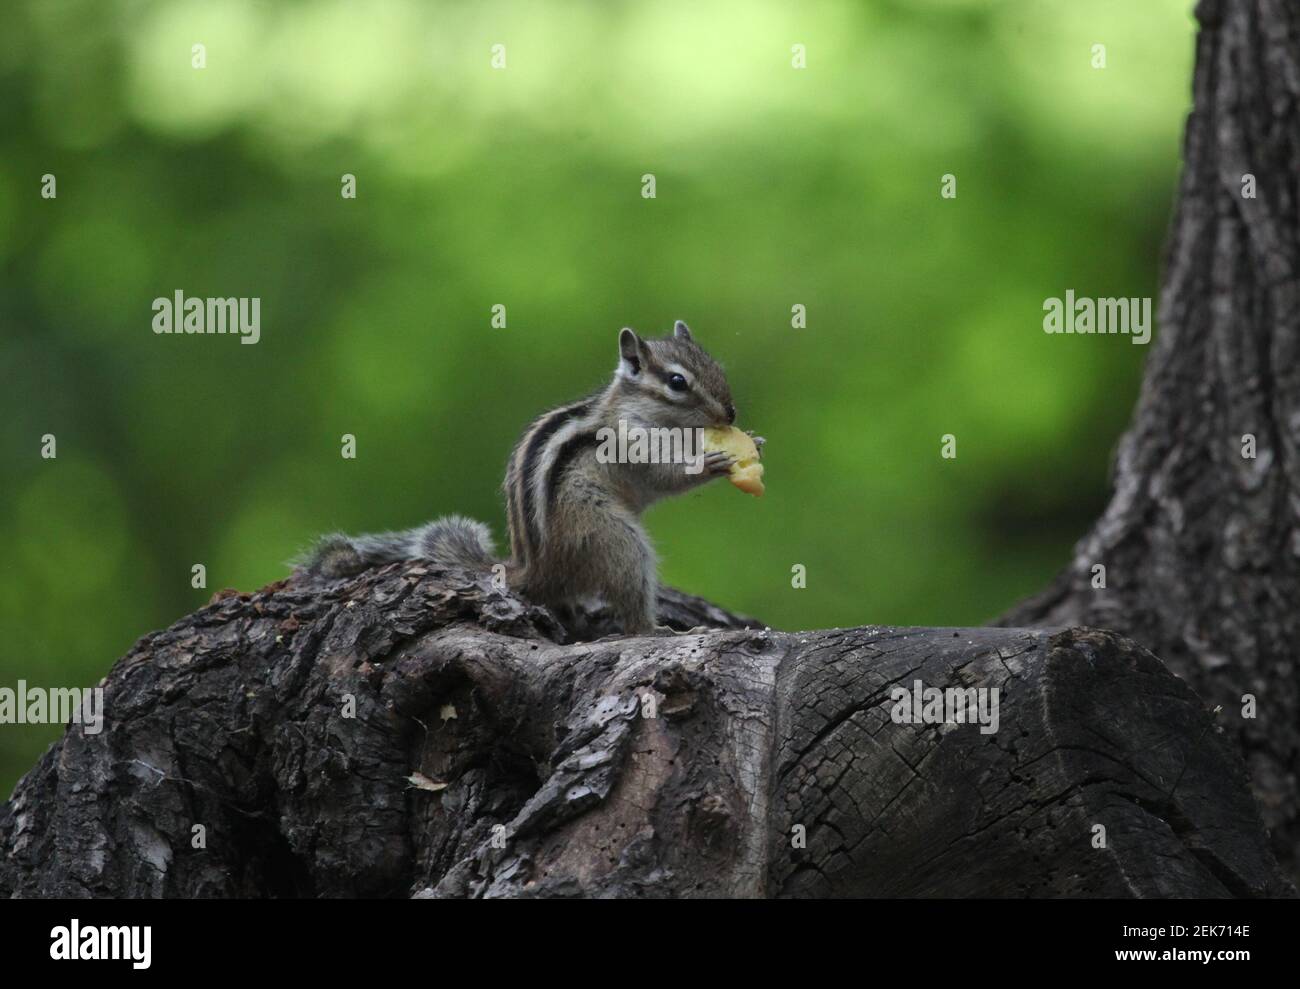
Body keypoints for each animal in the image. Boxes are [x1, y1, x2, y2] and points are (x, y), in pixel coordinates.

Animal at [297, 320, 759, 634]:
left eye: (716, 366)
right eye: (677, 382)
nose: (731, 414)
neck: (642, 411)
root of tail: (534, 569)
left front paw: (753, 441)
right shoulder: (627, 441)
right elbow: (662, 475)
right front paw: (711, 462)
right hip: (614, 540)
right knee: (630, 603)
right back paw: (654, 629)